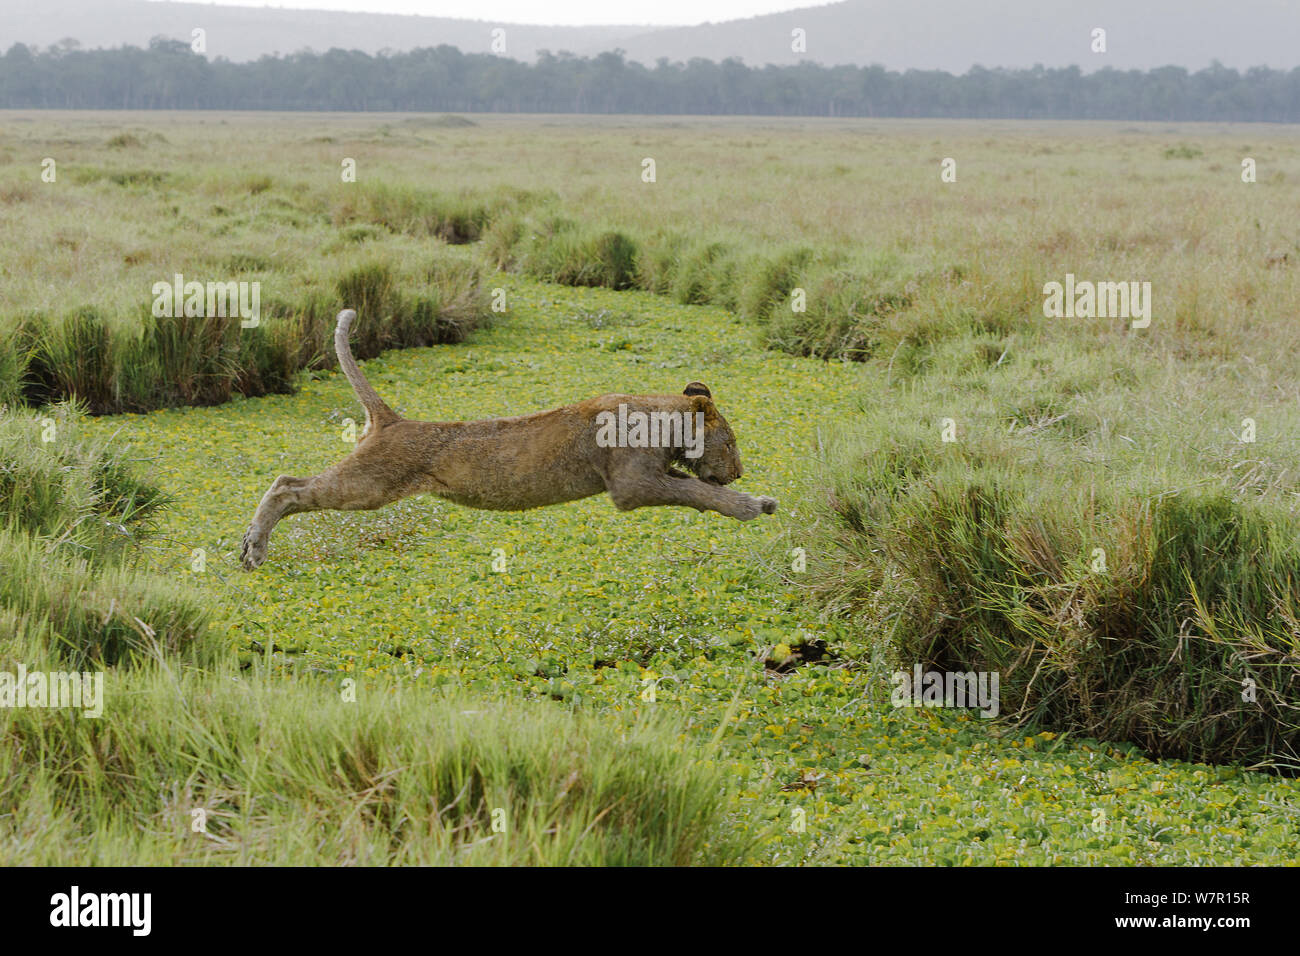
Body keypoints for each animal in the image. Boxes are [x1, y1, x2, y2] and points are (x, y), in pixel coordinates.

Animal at [239, 310, 778, 569]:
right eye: (730, 443)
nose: (740, 470)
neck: (662, 419)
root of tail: (392, 420)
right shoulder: (631, 485)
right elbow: (698, 492)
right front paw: (753, 505)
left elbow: (695, 487)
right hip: (369, 484)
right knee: (287, 484)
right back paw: (253, 549)